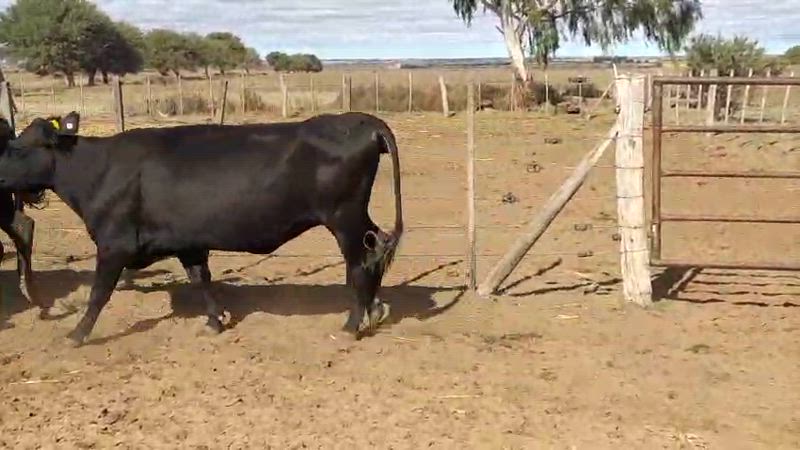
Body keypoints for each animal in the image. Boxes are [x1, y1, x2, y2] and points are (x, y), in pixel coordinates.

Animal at [0, 111, 403, 346]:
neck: (98, 169)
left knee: (361, 262)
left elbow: (99, 293)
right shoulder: (187, 241)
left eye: (16, 149)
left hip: (344, 218)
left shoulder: (114, 244)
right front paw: (214, 322)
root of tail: (363, 120)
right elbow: (201, 280)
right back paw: (374, 309)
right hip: (354, 219)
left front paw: (77, 334)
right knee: (377, 249)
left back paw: (352, 324)